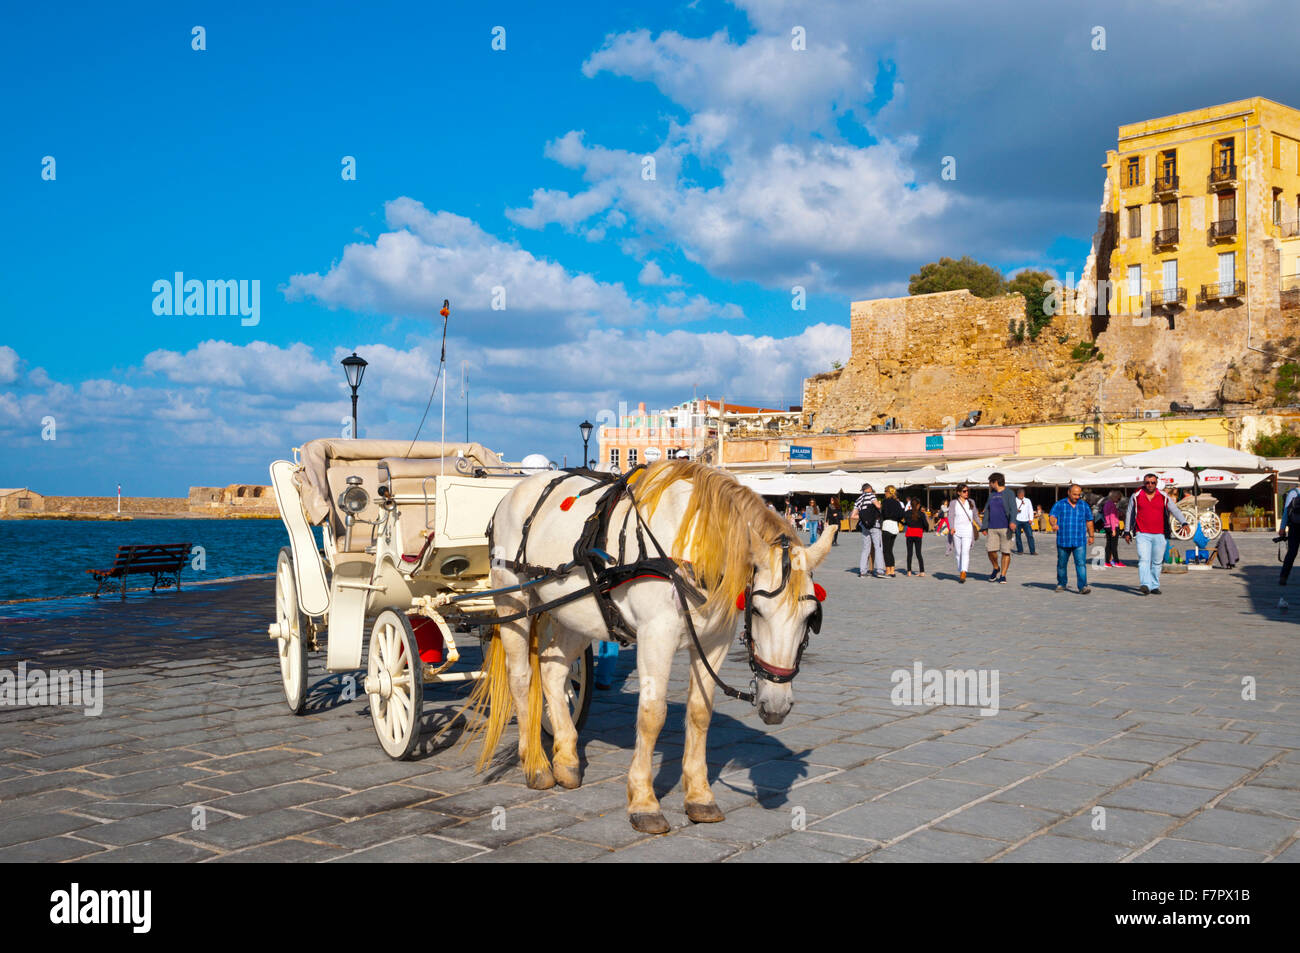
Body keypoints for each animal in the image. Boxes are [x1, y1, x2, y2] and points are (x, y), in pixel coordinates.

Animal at [466, 459, 834, 835]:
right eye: (757, 610)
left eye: (811, 618)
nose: (776, 707)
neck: (691, 549)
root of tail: (511, 493)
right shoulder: (656, 635)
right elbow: (652, 715)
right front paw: (644, 802)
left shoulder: (715, 642)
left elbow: (700, 714)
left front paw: (700, 796)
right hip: (513, 601)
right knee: (522, 677)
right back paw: (536, 765)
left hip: (576, 611)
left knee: (552, 670)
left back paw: (566, 760)